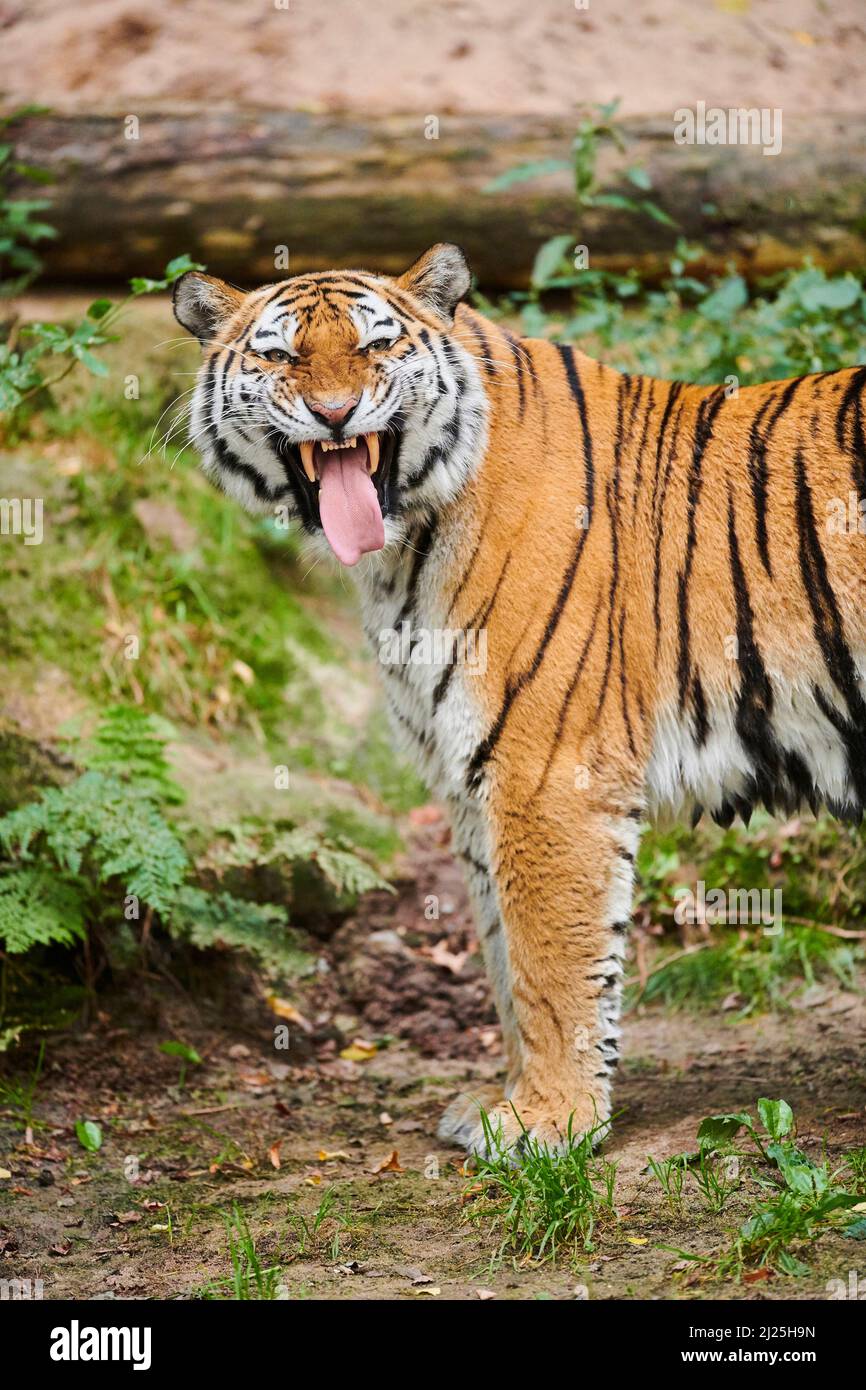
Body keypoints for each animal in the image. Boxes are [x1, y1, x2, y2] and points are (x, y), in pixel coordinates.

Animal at [173, 243, 866, 1154]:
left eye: (375, 346)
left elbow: (549, 957)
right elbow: (502, 953)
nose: (334, 413)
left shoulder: (547, 770)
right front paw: (502, 1101)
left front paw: (549, 1123)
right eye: (282, 355)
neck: (400, 554)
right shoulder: (468, 773)